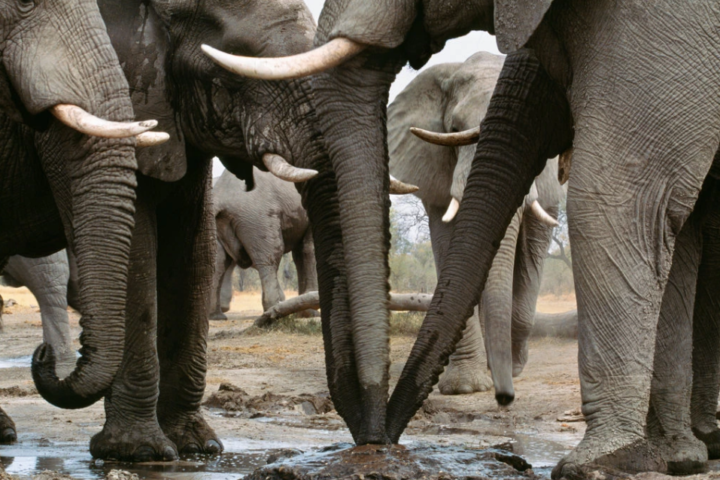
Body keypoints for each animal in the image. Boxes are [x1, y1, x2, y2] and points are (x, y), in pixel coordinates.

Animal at [210, 167, 318, 320]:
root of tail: (220, 197)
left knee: (220, 262)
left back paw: (217, 316)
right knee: (270, 257)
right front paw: (310, 313)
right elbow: (307, 250)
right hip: (258, 217)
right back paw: (275, 311)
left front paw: (305, 313)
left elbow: (302, 253)